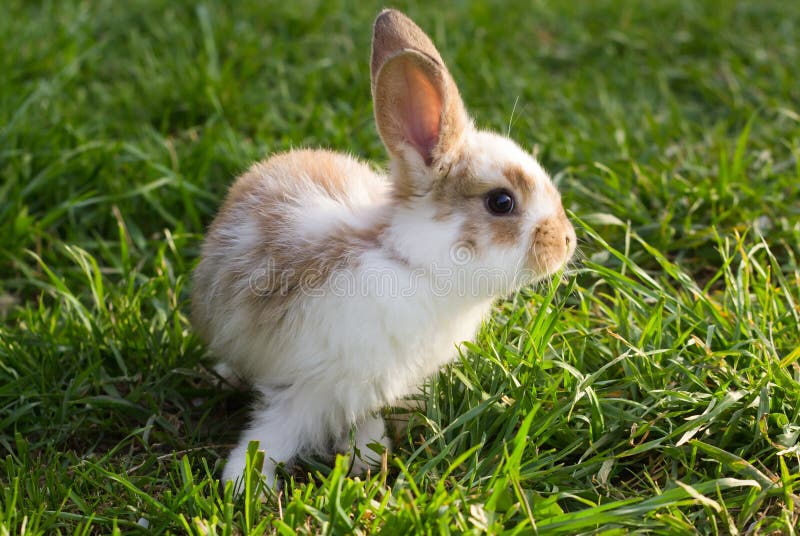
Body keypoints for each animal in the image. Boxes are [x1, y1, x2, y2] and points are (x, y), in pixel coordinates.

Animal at [191, 9, 576, 488]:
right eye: (501, 202)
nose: (566, 241)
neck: (411, 263)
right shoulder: (315, 387)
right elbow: (273, 434)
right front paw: (245, 484)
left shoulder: (370, 388)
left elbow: (364, 425)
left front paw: (368, 464)